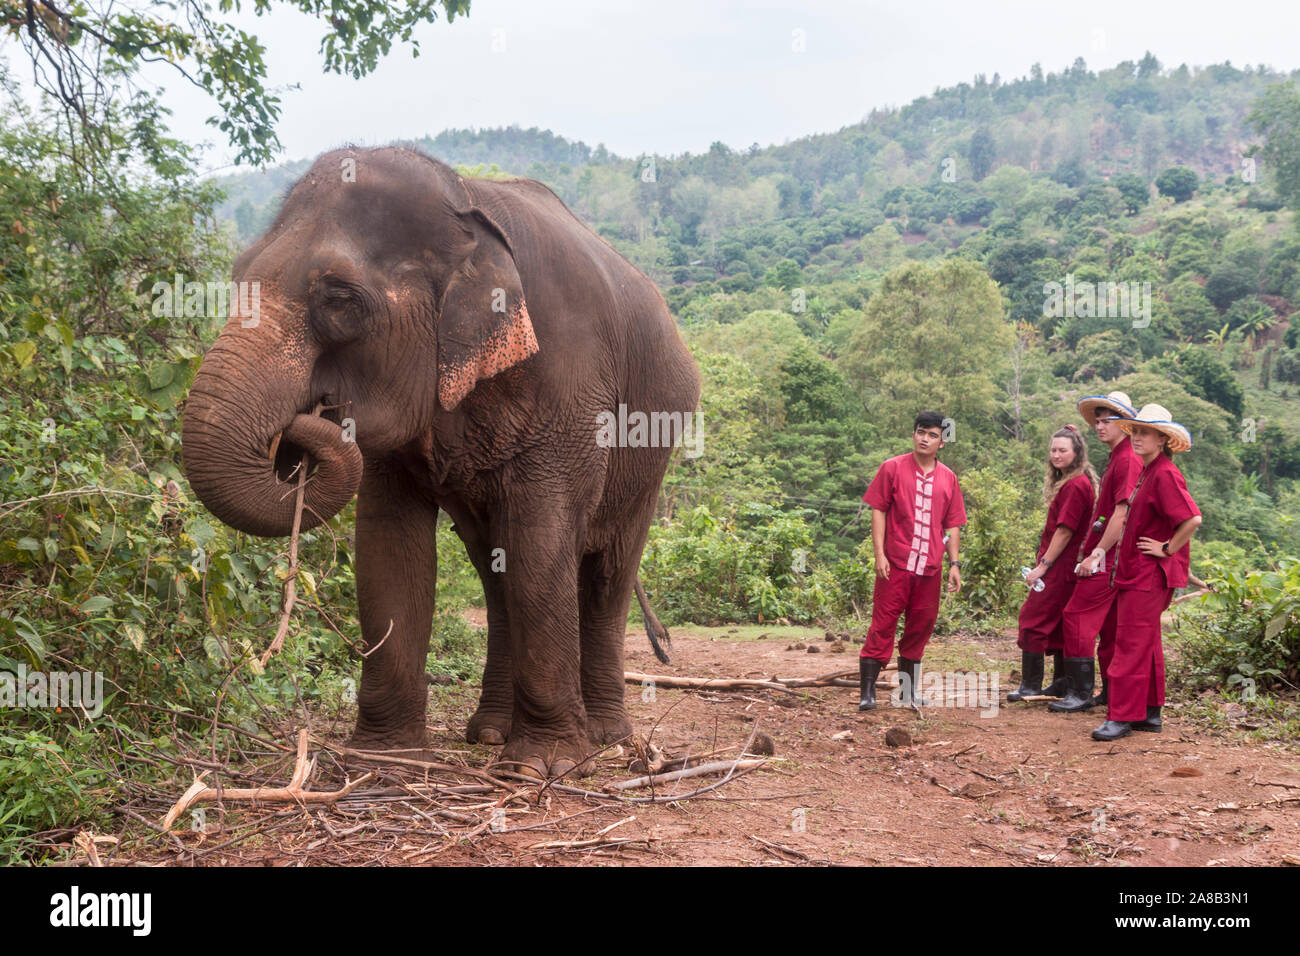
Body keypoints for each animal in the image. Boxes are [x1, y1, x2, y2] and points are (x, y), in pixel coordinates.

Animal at [181, 146, 701, 777]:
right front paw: (383, 758)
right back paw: (490, 733)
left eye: (339, 299)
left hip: (653, 451)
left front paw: (543, 767)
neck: (465, 207)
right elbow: (389, 547)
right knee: (496, 575)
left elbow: (542, 538)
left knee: (606, 573)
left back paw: (606, 739)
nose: (308, 418)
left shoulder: (573, 387)